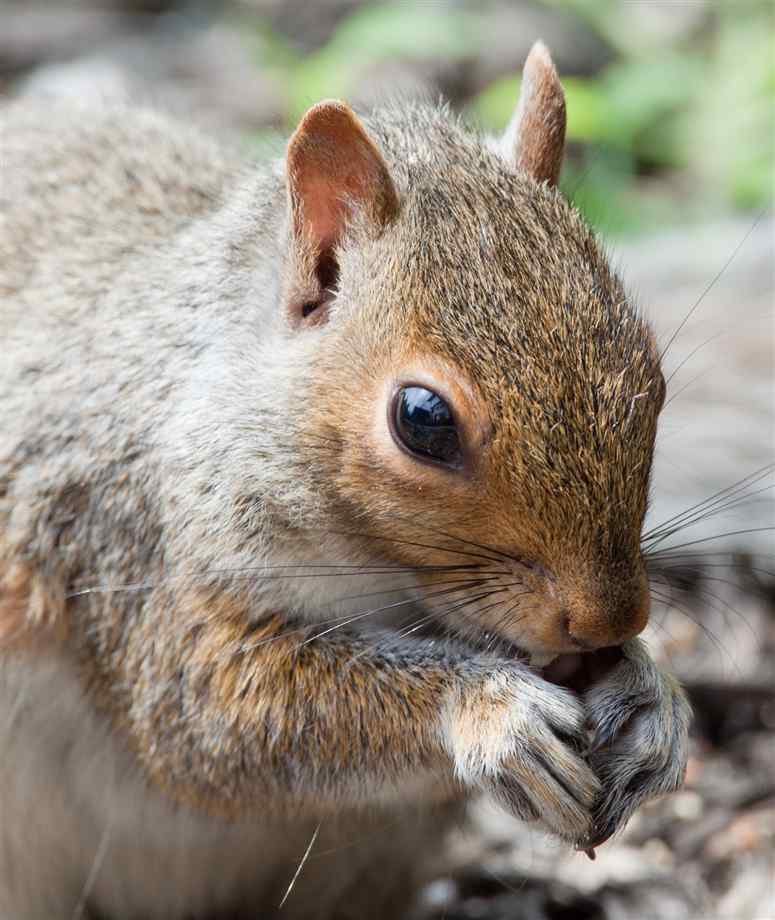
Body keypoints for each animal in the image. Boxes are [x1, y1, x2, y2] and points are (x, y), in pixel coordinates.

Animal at [0, 42, 690, 920]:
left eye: (651, 371)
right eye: (422, 419)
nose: (608, 620)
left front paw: (650, 701)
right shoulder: (134, 553)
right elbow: (209, 717)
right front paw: (489, 712)